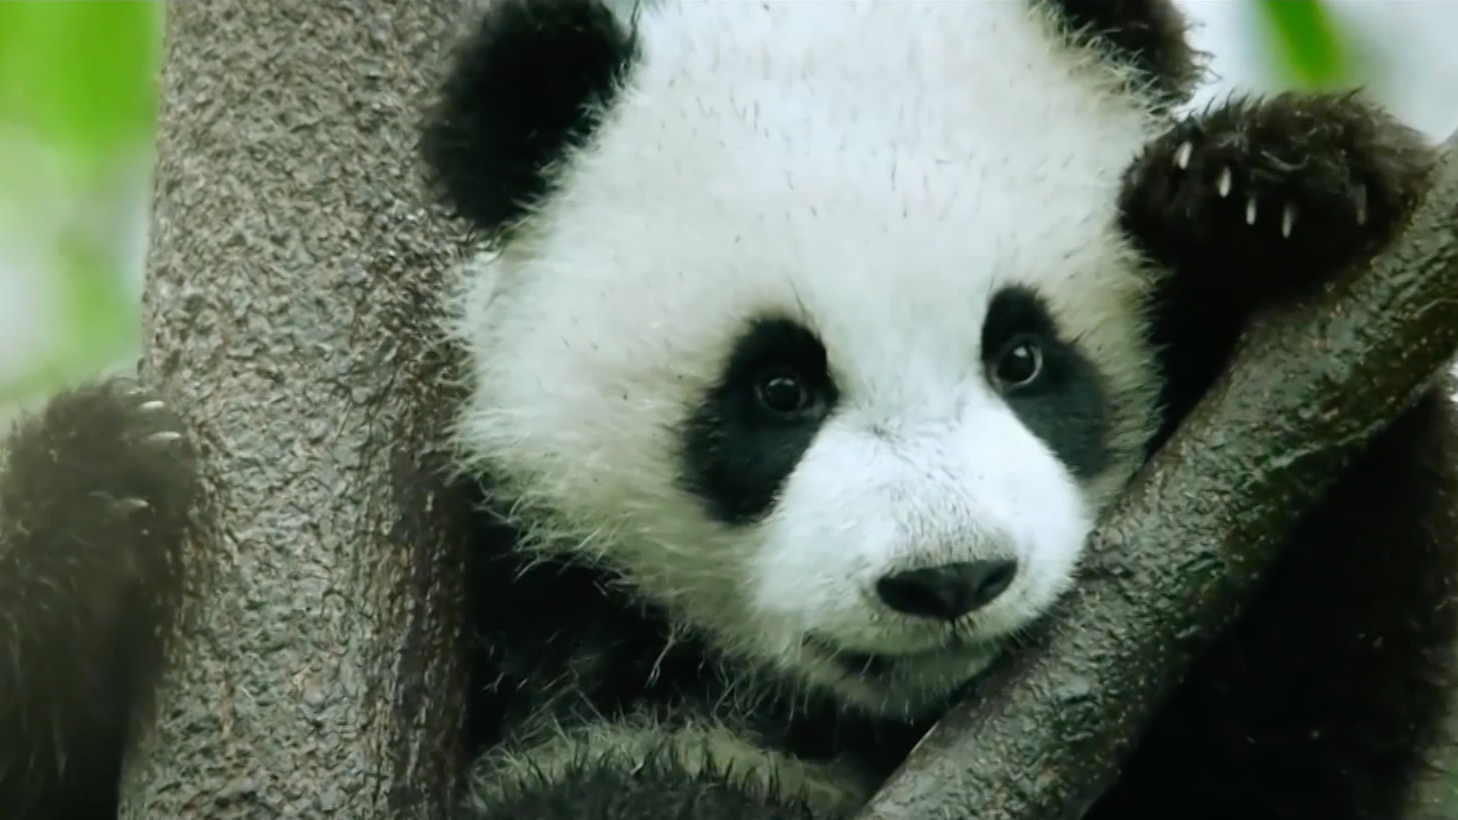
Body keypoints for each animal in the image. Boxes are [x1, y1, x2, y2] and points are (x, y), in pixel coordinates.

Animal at [2, 1, 1456, 819]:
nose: (947, 580)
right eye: (777, 388)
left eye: (1023, 357)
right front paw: (97, 492)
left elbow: (1279, 748)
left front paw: (1267, 205)